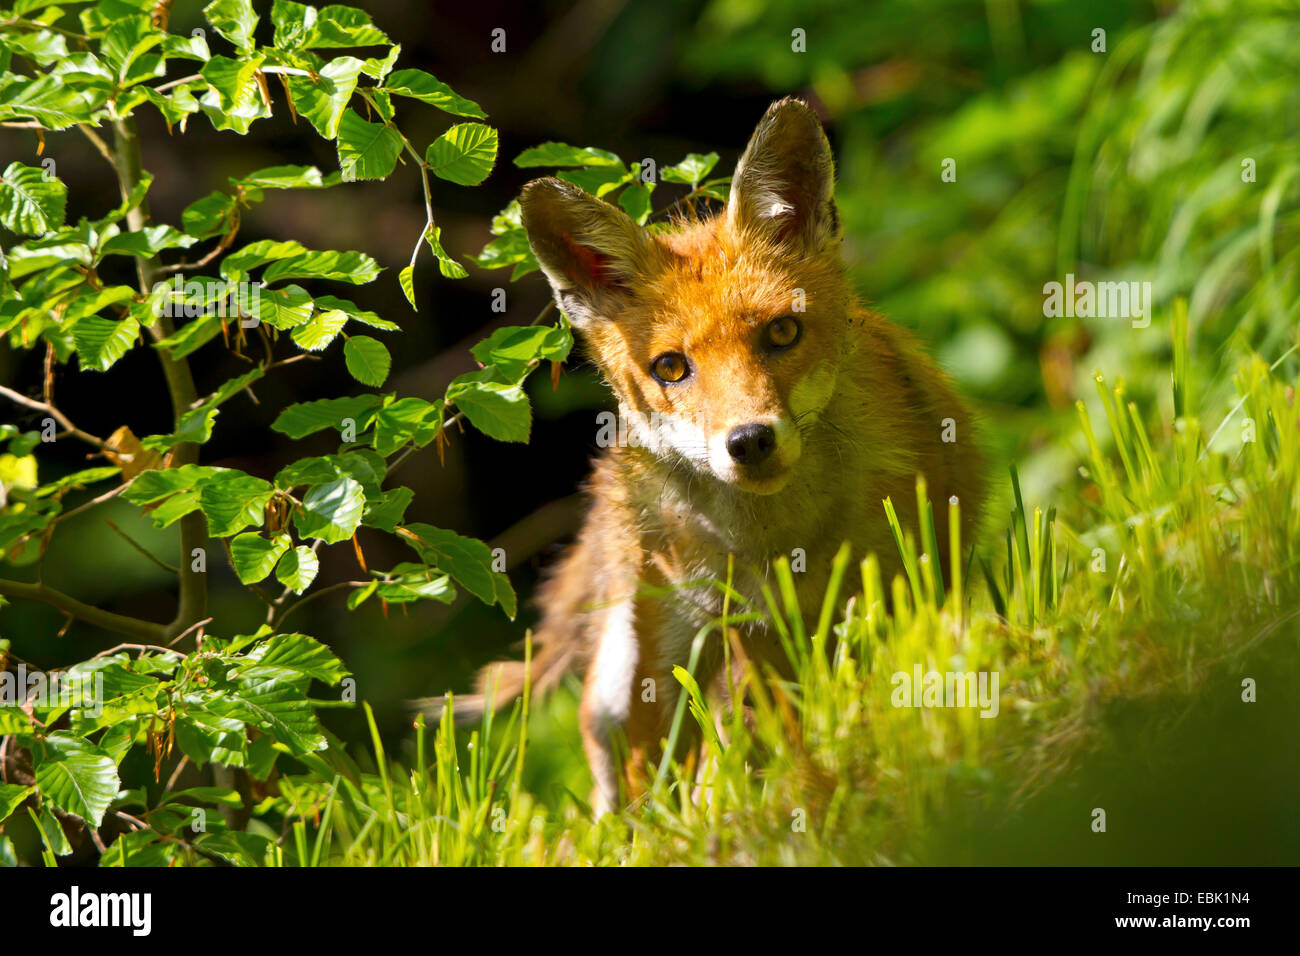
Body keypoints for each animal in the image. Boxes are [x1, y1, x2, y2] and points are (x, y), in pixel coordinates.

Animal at [454, 98, 986, 815]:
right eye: (671, 367)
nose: (750, 440)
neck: (775, 543)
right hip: (632, 668)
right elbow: (681, 773)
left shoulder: (895, 579)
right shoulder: (694, 639)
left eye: (782, 332)